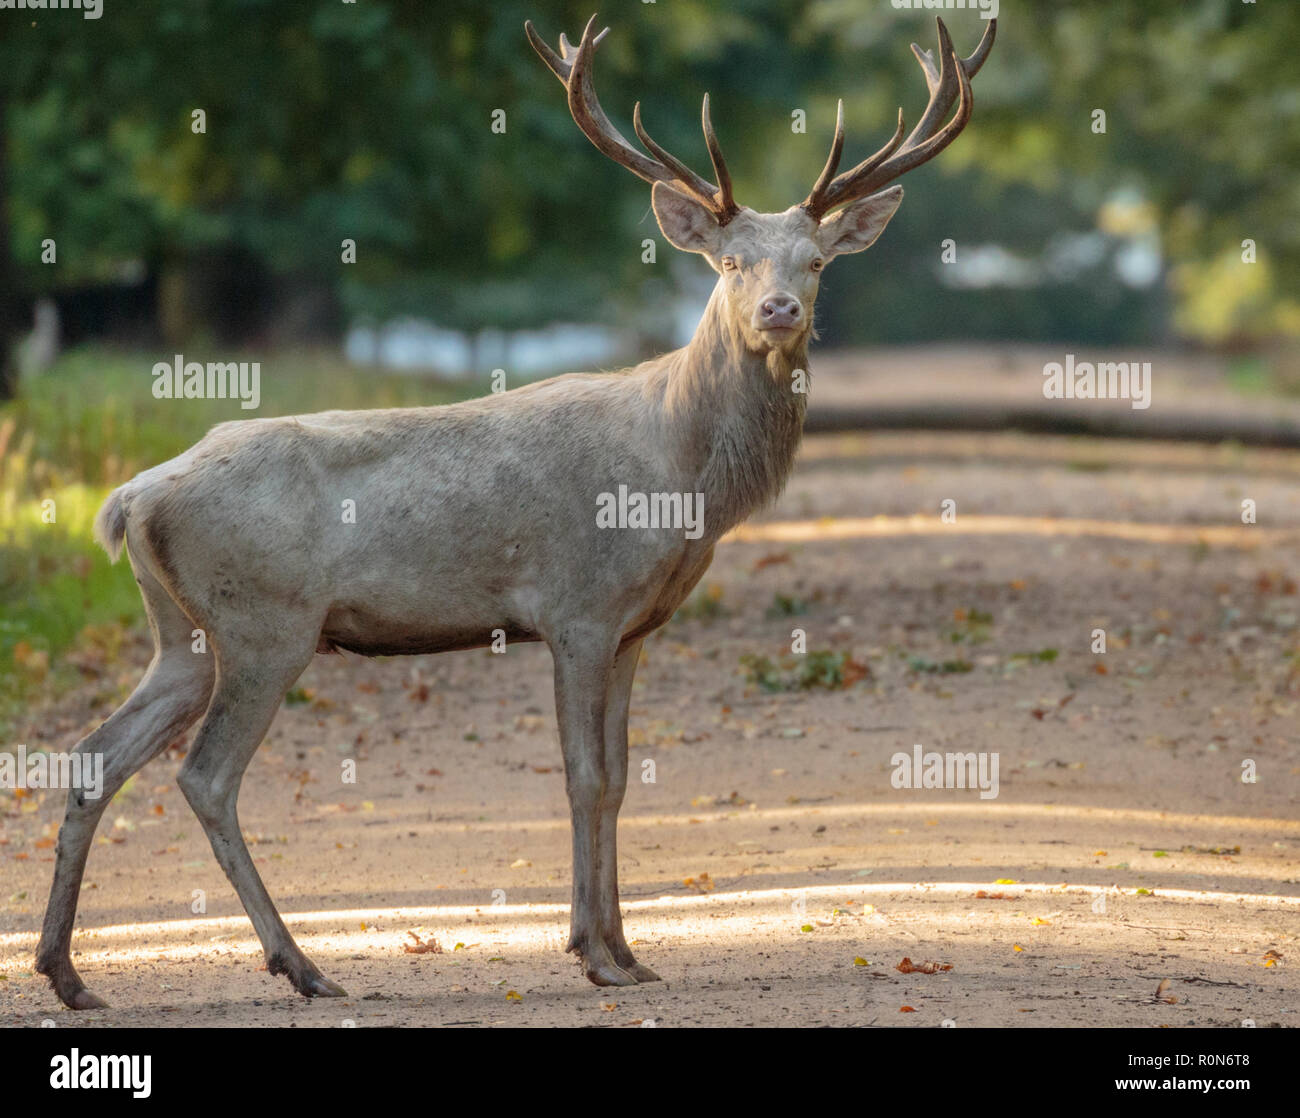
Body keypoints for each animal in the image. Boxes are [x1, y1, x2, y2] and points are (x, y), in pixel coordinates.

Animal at [36, 12, 994, 1008]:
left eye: (815, 263)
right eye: (730, 263)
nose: (777, 310)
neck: (681, 477)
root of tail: (130, 497)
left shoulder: (637, 625)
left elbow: (620, 778)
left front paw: (626, 951)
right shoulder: (578, 605)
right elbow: (583, 776)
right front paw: (596, 956)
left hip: (180, 633)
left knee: (95, 756)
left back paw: (68, 973)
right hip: (266, 619)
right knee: (206, 776)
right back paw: (300, 966)